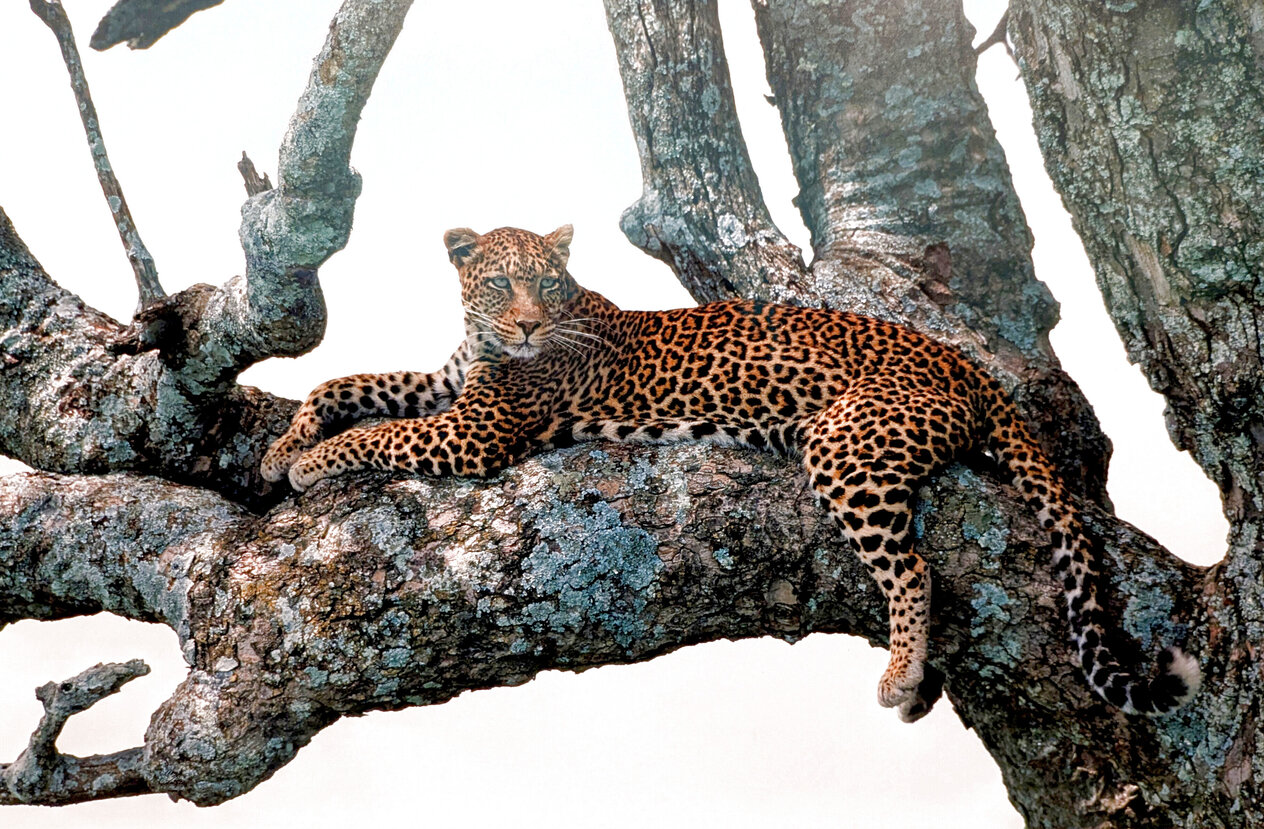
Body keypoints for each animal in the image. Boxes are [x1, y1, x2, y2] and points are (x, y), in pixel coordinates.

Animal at [261, 223, 1200, 722]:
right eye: (500, 285)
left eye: (547, 285)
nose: (527, 326)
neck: (488, 344)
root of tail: (962, 362)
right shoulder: (448, 387)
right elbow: (348, 384)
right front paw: (283, 445)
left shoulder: (472, 431)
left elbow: (378, 433)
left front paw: (307, 463)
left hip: (847, 447)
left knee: (914, 567)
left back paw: (901, 671)